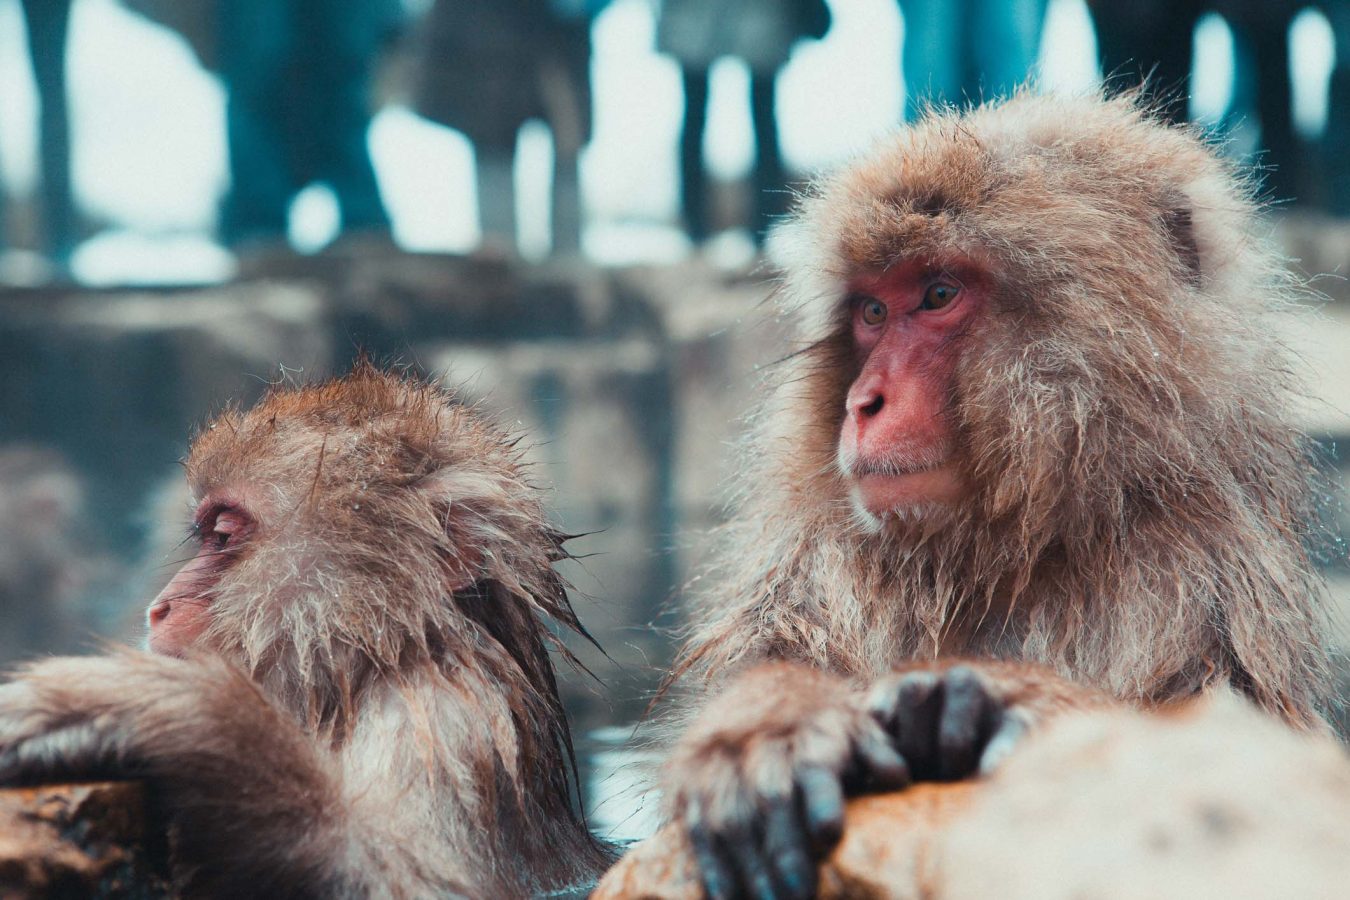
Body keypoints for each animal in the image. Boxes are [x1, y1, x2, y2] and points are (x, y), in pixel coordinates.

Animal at [0, 363, 614, 897]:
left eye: (221, 536)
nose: (158, 608)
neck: (376, 665)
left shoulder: (444, 722)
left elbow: (405, 880)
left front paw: (152, 709)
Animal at [597, 92, 1339, 899]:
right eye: (872, 312)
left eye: (939, 295)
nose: (864, 401)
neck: (1010, 545)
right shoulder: (821, 559)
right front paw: (773, 726)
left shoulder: (1213, 571)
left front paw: (999, 700)